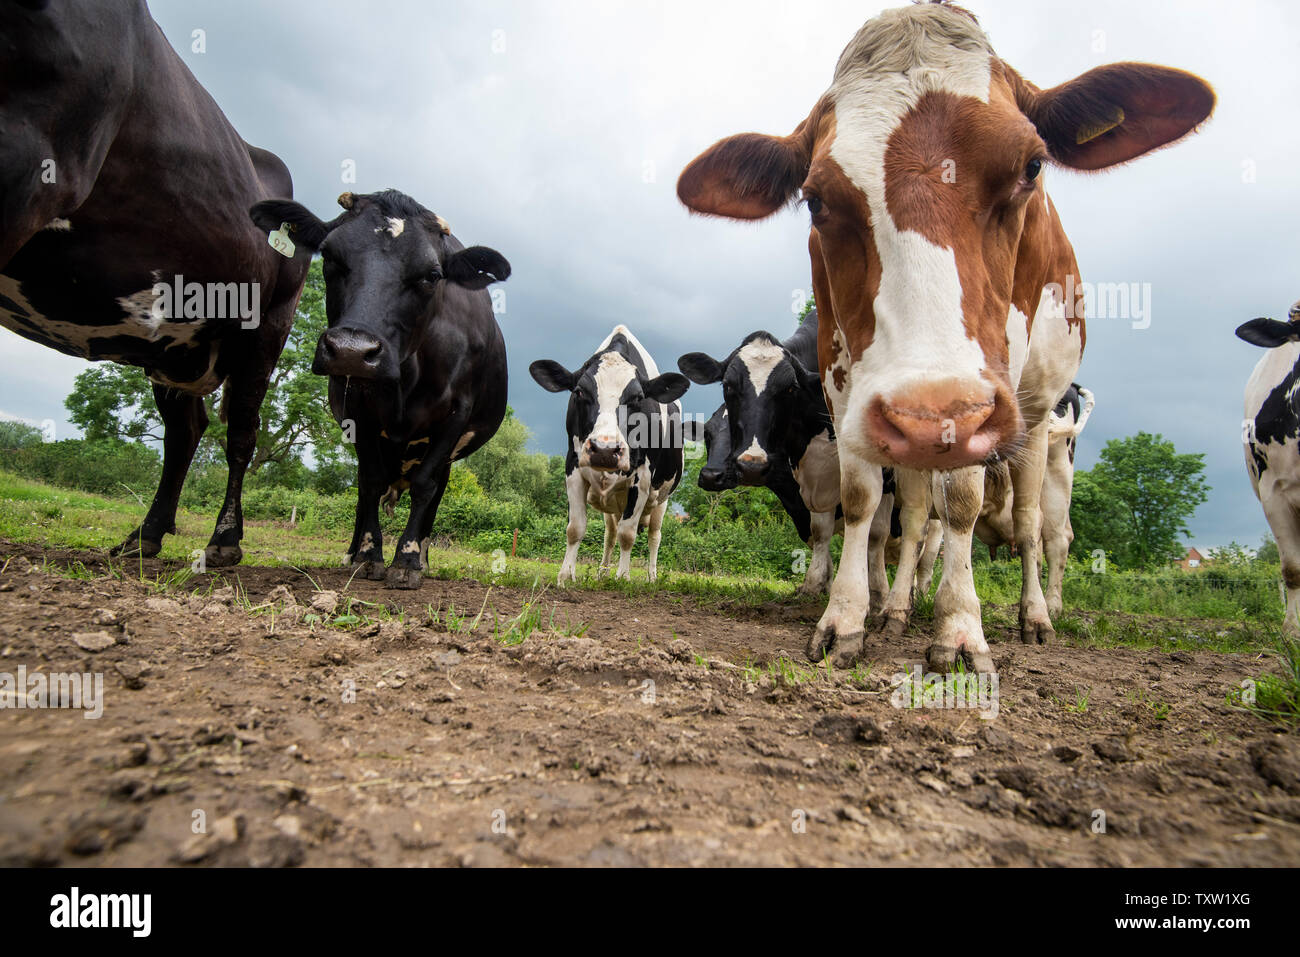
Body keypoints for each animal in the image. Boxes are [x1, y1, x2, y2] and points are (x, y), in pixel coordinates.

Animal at [0, 0, 310, 566]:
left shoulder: (31, 159)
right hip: (174, 340)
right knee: (185, 430)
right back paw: (145, 535)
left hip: (267, 328)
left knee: (241, 431)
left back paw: (223, 540)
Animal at [248, 190, 511, 589]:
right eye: (329, 256)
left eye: (433, 275)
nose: (351, 351)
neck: (406, 380)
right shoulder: (358, 410)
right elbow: (369, 482)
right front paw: (369, 554)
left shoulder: (456, 414)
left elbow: (424, 486)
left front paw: (408, 559)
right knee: (364, 486)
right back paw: (352, 552)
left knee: (433, 489)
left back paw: (423, 557)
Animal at [530, 327, 690, 583]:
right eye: (579, 392)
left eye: (638, 398)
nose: (605, 449)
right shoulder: (573, 467)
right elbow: (576, 528)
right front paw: (566, 575)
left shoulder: (643, 478)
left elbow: (628, 534)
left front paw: (623, 577)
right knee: (611, 533)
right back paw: (603, 572)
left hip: (662, 499)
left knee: (654, 536)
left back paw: (651, 576)